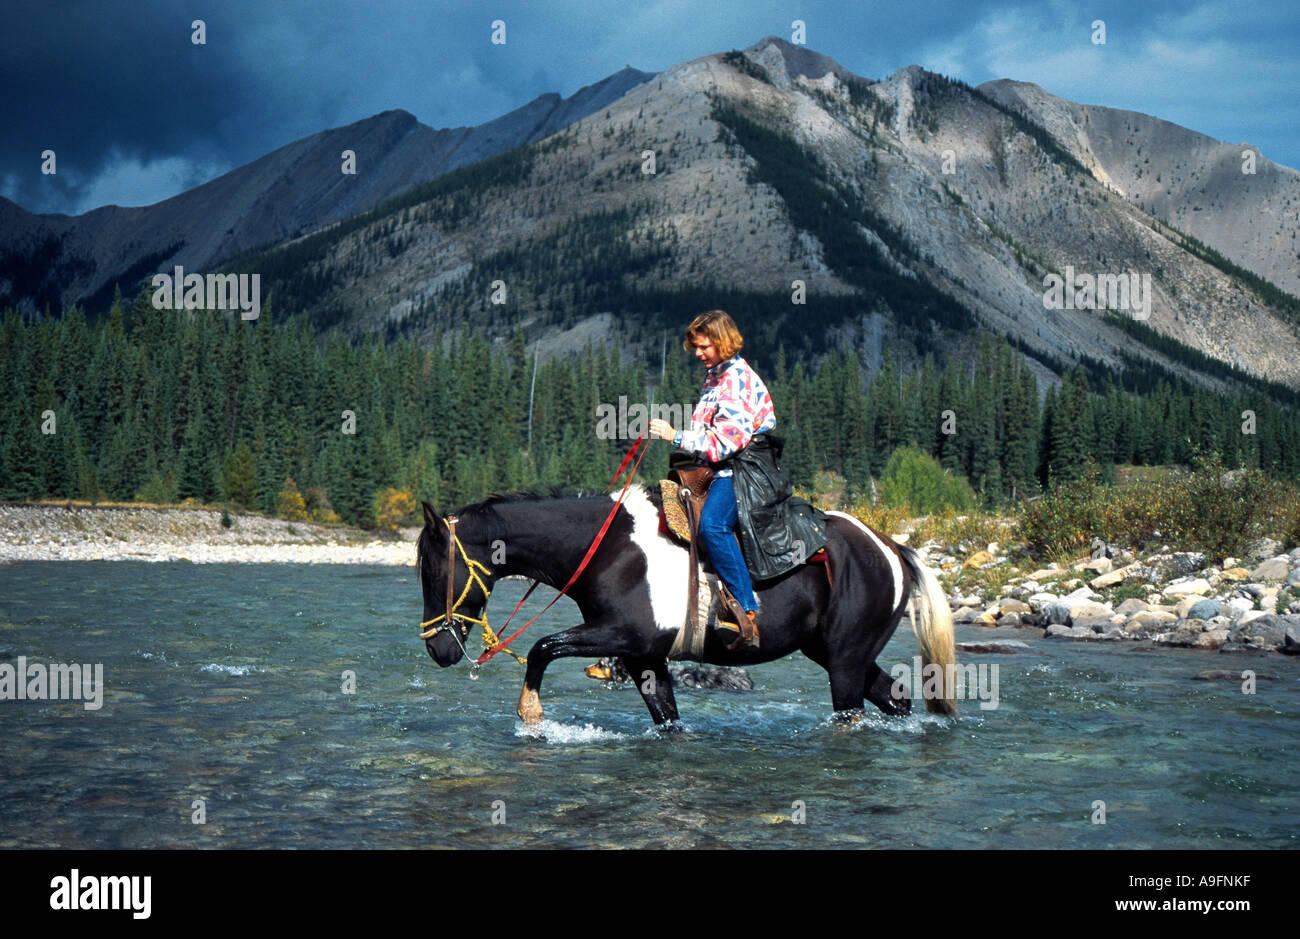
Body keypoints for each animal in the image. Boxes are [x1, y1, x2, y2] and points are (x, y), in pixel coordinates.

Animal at [415, 486, 956, 727]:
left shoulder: (625, 634)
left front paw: (530, 713)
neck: (609, 549)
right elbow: (667, 718)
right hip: (839, 654)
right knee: (895, 698)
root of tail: (891, 547)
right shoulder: (645, 658)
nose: (438, 650)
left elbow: (543, 647)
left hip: (844, 661)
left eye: (434, 571)